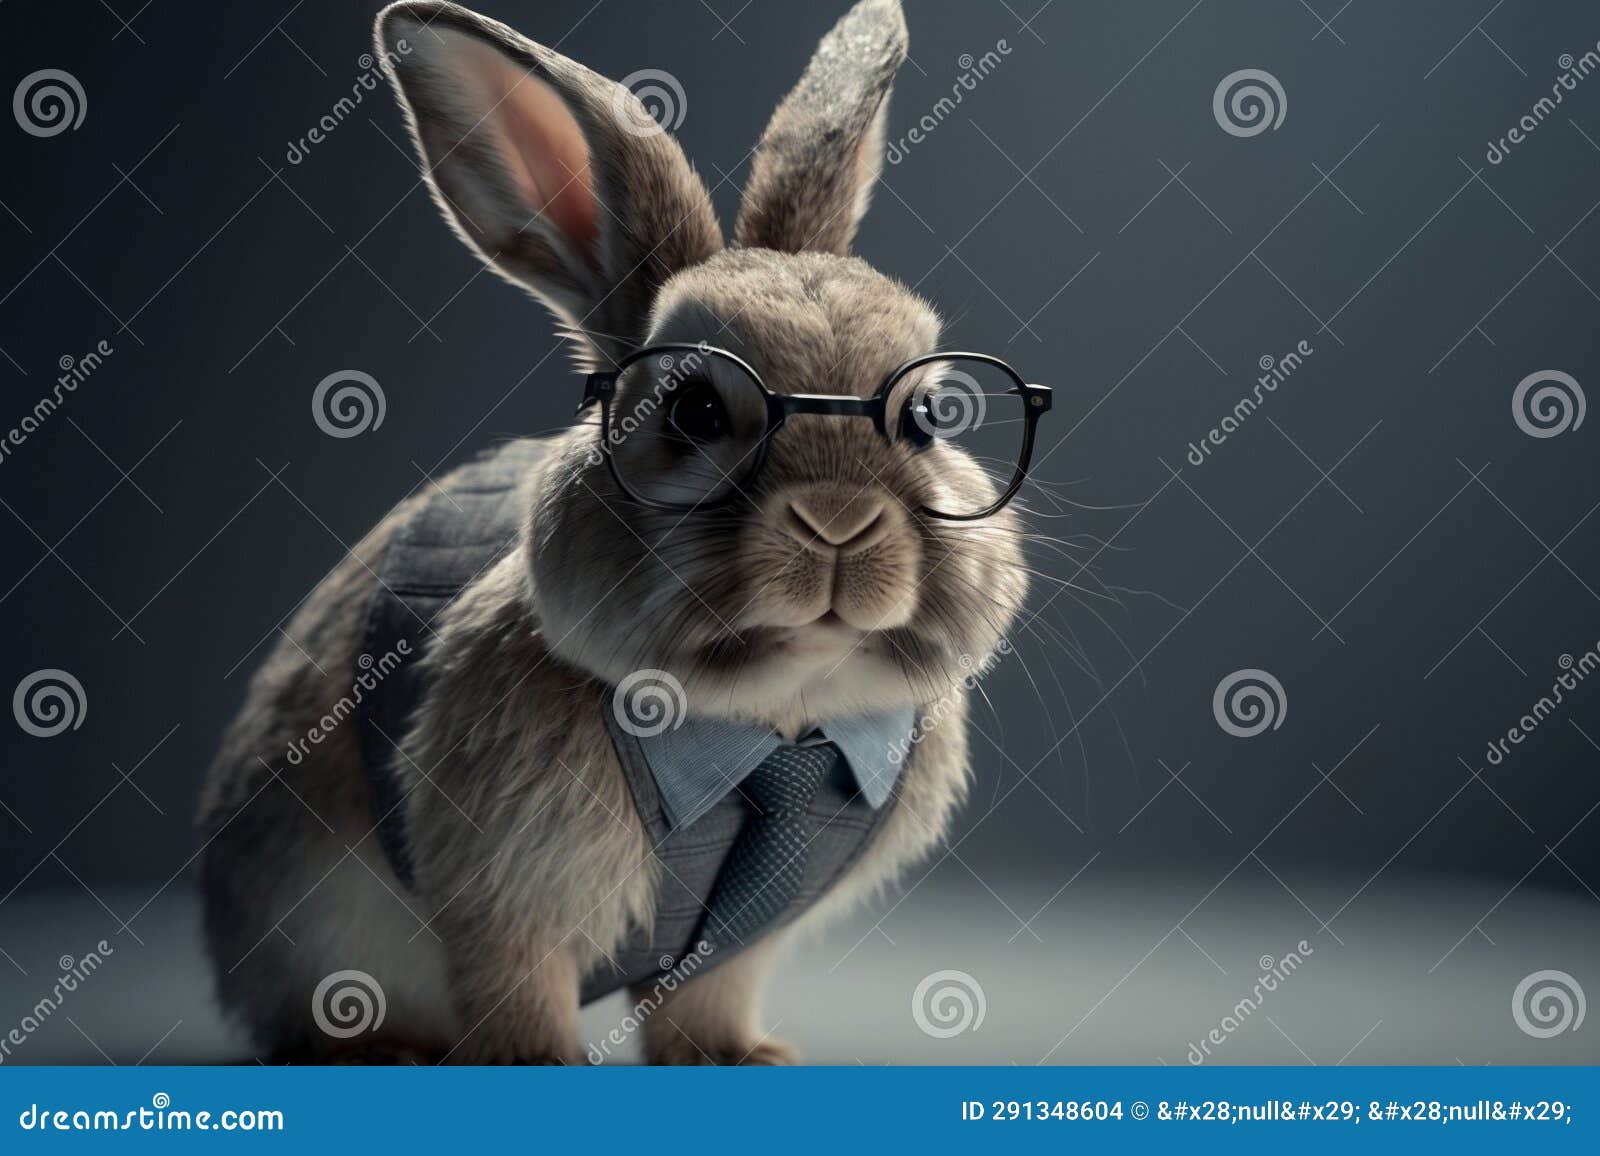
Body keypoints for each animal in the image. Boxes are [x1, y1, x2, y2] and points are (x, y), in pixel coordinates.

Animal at [197, 0, 1031, 1065]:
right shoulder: (506, 896)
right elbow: (515, 985)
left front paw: (743, 1061)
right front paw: (534, 1066)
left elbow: (706, 993)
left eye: (925, 416)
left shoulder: (738, 939)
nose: (838, 518)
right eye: (691, 411)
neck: (775, 727)